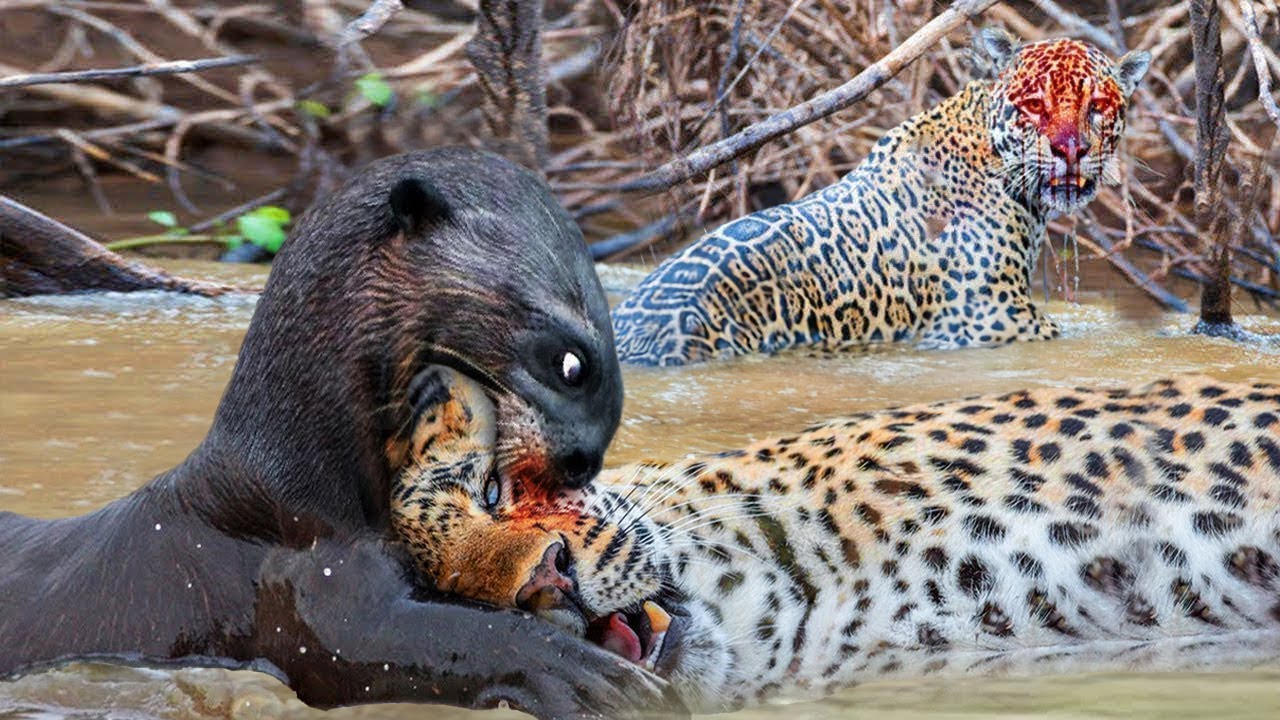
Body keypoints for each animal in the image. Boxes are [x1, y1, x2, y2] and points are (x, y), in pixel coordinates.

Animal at [0, 149, 674, 719]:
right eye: (571, 362)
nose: (582, 460)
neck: (298, 492)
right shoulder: (313, 595)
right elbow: (419, 643)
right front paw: (585, 674)